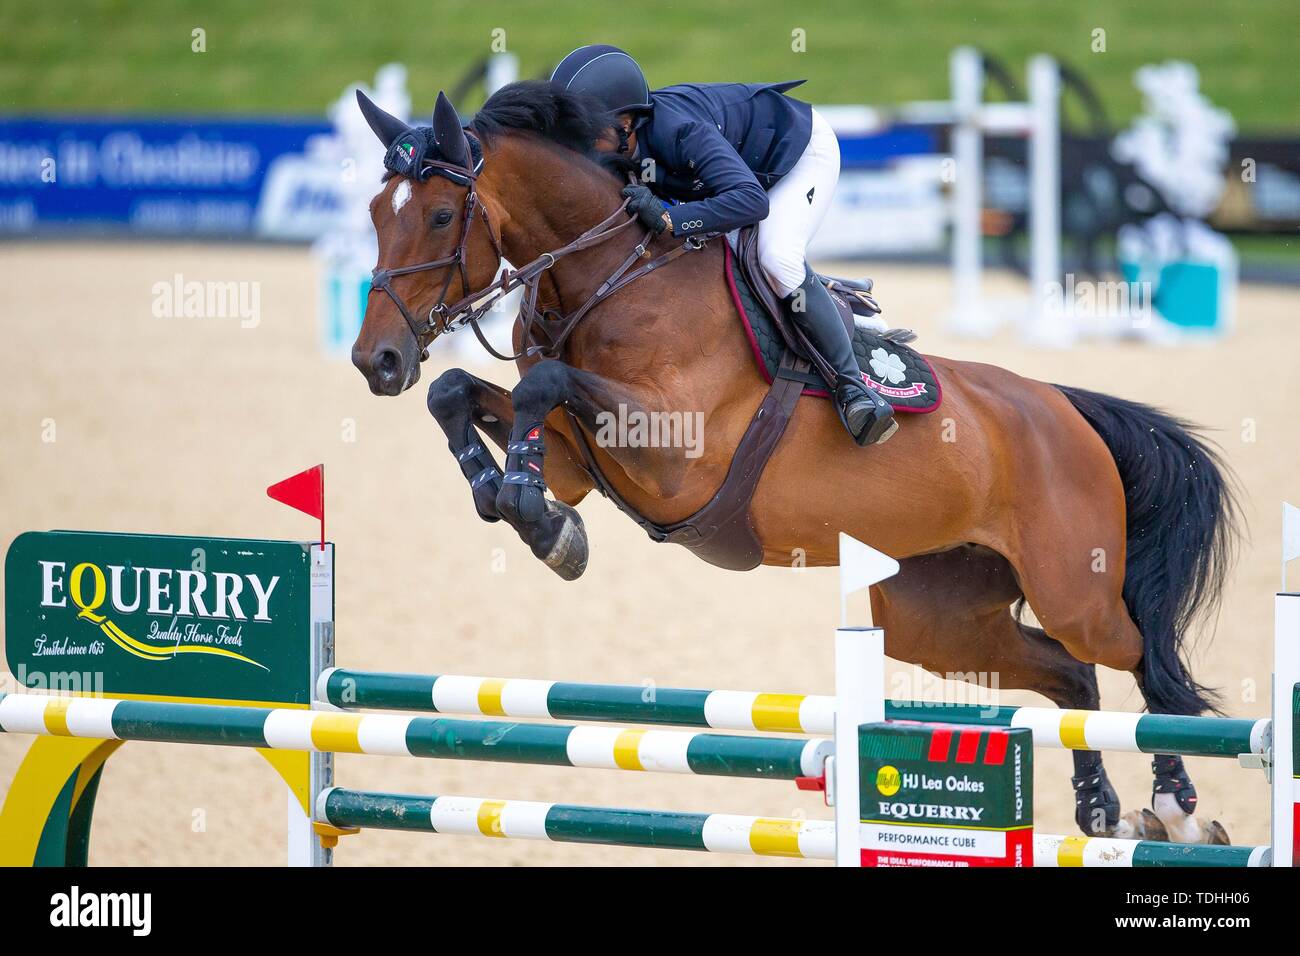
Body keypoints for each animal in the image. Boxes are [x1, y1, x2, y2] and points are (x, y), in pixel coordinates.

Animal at [350, 82, 1238, 845]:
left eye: (439, 215)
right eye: (372, 212)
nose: (377, 362)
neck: (605, 280)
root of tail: (1063, 407)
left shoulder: (677, 452)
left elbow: (541, 383)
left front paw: (538, 518)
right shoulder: (579, 453)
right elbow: (462, 394)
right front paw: (523, 508)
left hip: (1069, 586)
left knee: (1139, 662)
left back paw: (1176, 811)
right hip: (939, 620)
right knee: (1072, 682)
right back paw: (1102, 810)